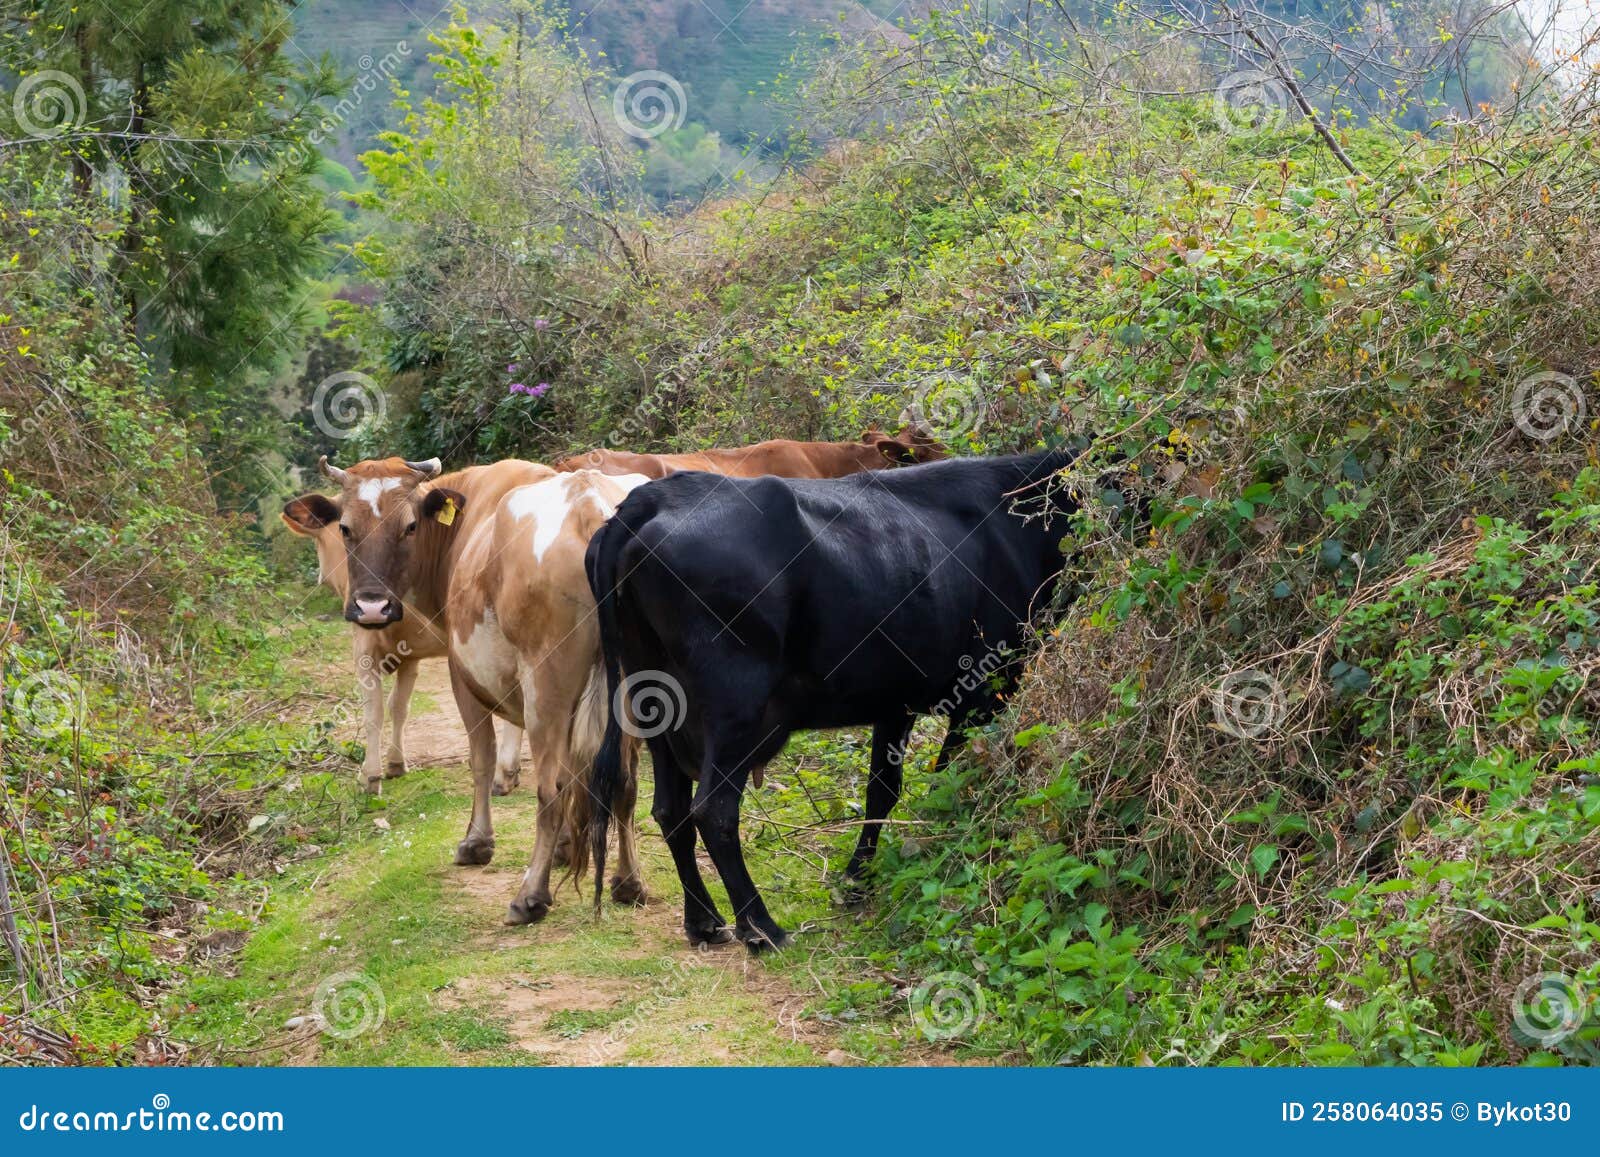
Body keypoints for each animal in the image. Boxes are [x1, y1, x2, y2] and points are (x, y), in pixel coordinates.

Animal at [281, 457, 534, 794]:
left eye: (410, 526)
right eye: (345, 528)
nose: (371, 606)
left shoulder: (363, 645)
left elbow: (373, 709)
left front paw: (369, 775)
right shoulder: (409, 655)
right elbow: (398, 705)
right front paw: (395, 763)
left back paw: (503, 772)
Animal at [585, 447, 1081, 951]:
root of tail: (650, 500)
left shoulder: (895, 701)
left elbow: (883, 790)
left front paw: (857, 882)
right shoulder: (985, 691)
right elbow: (948, 781)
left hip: (655, 702)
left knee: (670, 810)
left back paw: (704, 920)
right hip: (736, 709)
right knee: (713, 809)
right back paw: (760, 926)